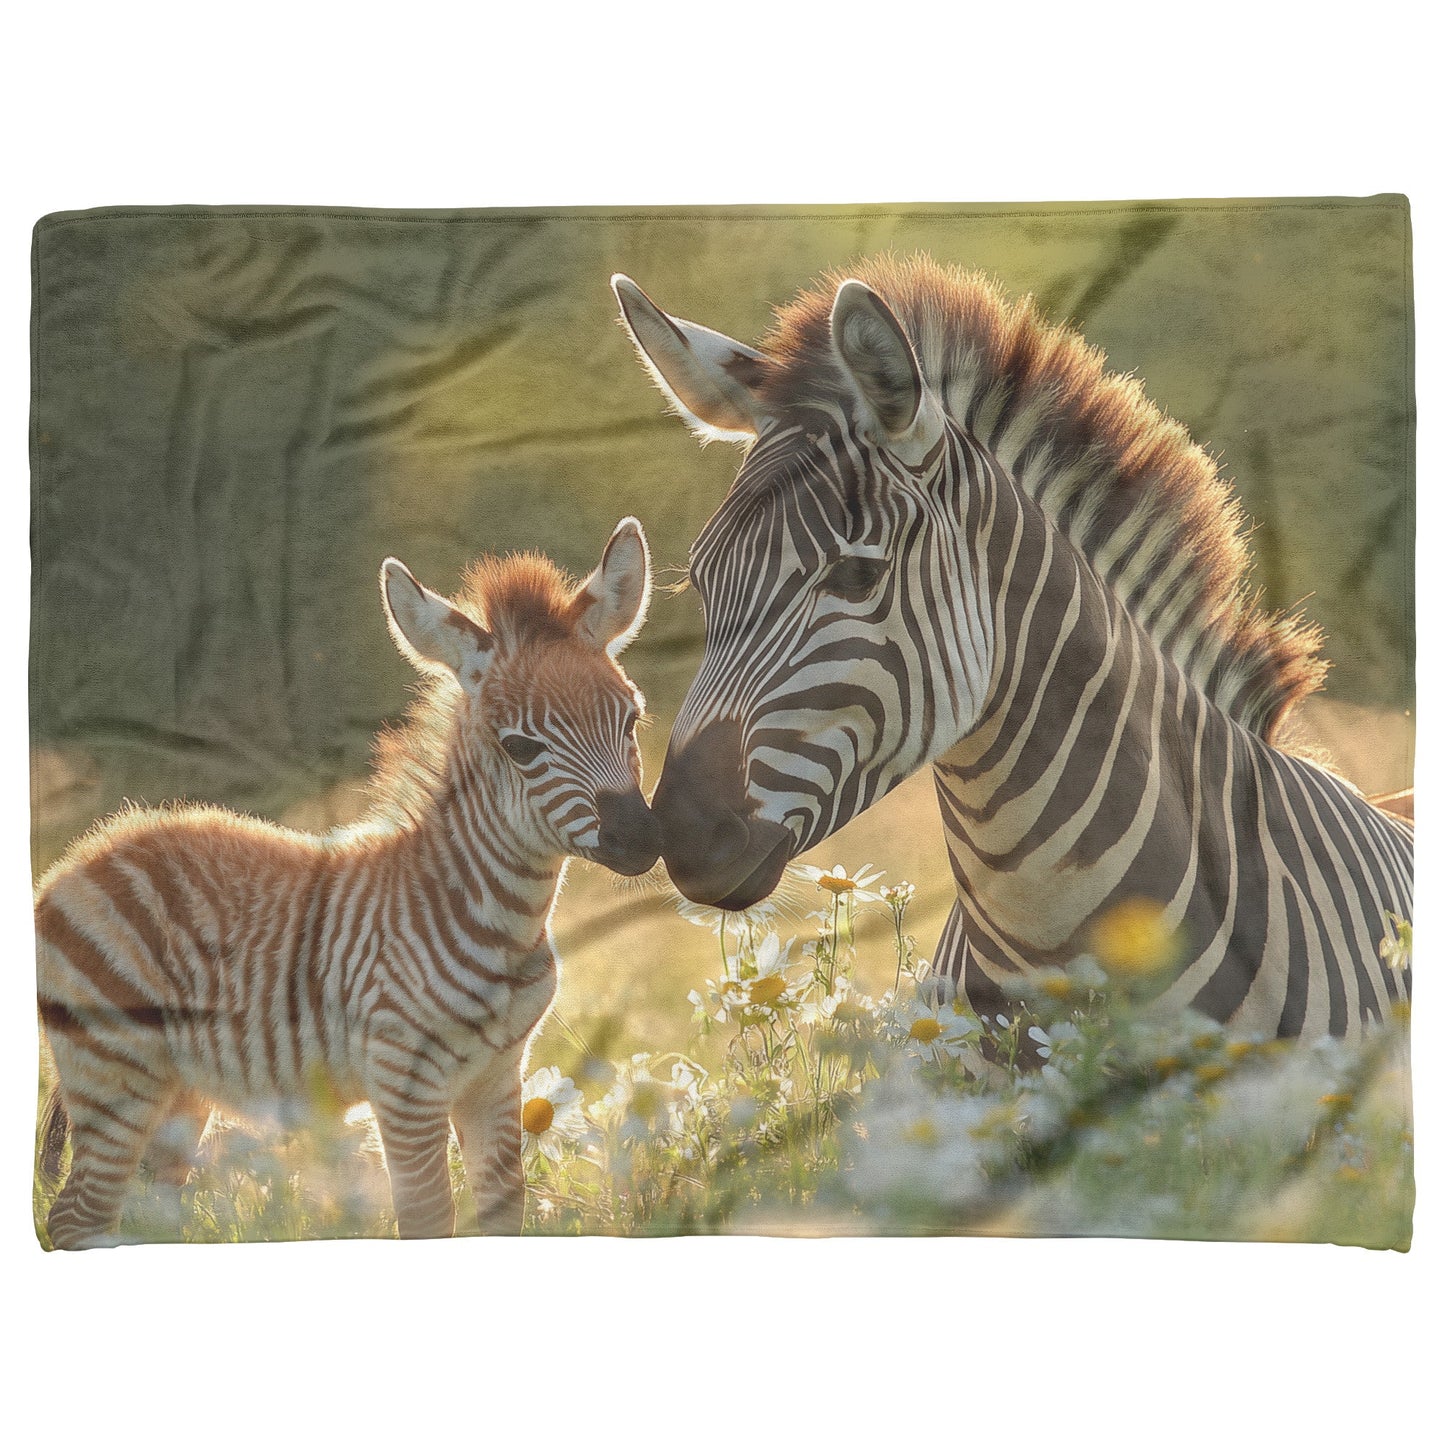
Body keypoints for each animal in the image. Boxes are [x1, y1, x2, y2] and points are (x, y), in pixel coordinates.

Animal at [35, 519, 659, 1247]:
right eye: (521, 747)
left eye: (631, 719)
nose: (643, 840)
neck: (501, 920)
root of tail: (79, 856)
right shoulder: (404, 1082)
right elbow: (427, 1218)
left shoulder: (497, 1076)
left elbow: (505, 1214)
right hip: (114, 1072)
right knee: (77, 1217)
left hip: (176, 1090)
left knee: (139, 1218)